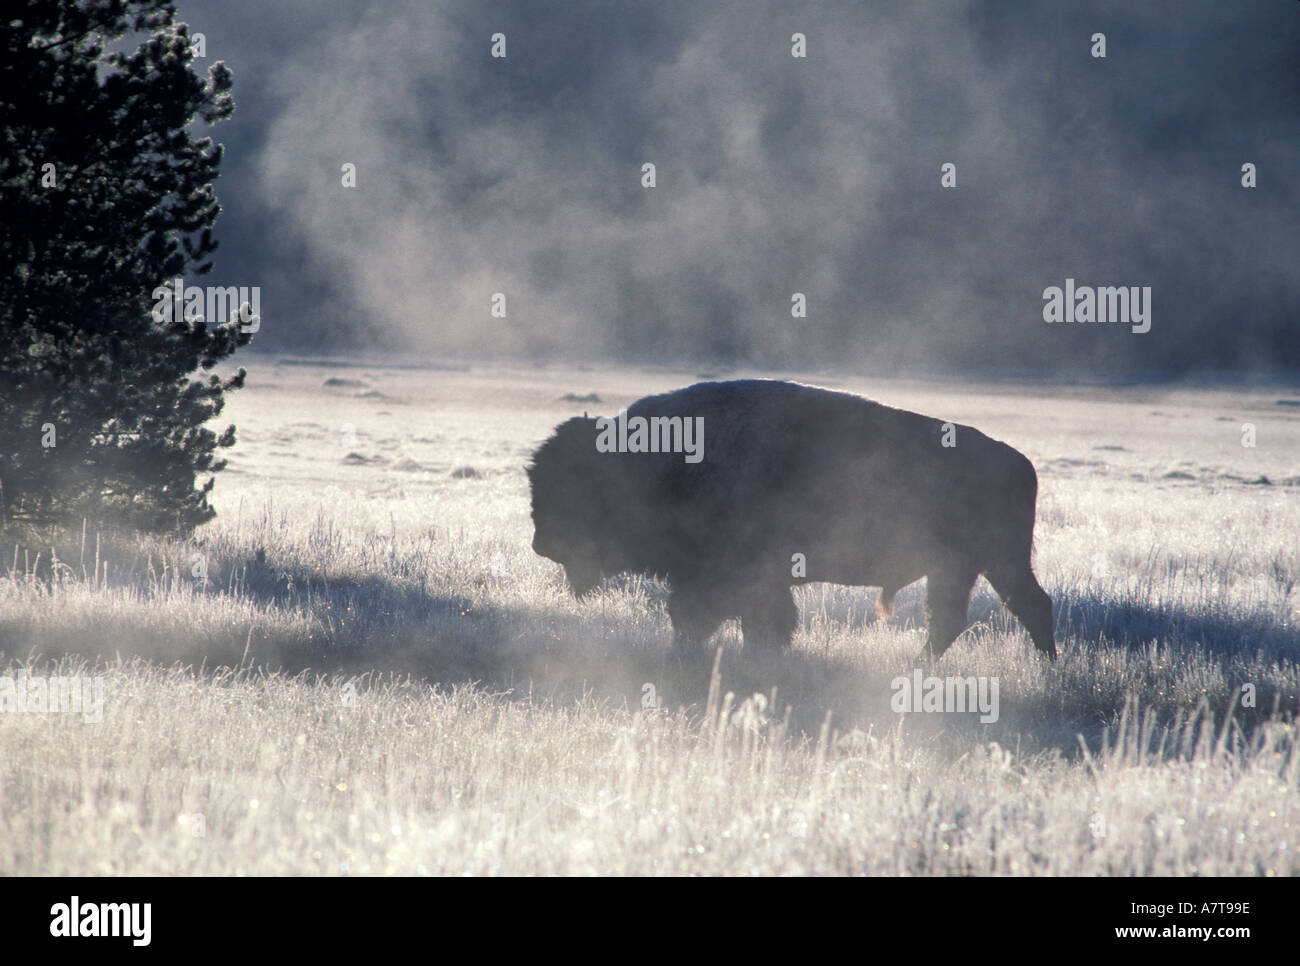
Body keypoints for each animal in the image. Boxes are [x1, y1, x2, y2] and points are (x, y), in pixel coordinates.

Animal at [527, 380, 1055, 660]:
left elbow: (703, 618)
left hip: (989, 561)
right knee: (981, 613)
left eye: (574, 487)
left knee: (1014, 608)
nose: (540, 543)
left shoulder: (722, 577)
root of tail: (1020, 463)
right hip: (972, 567)